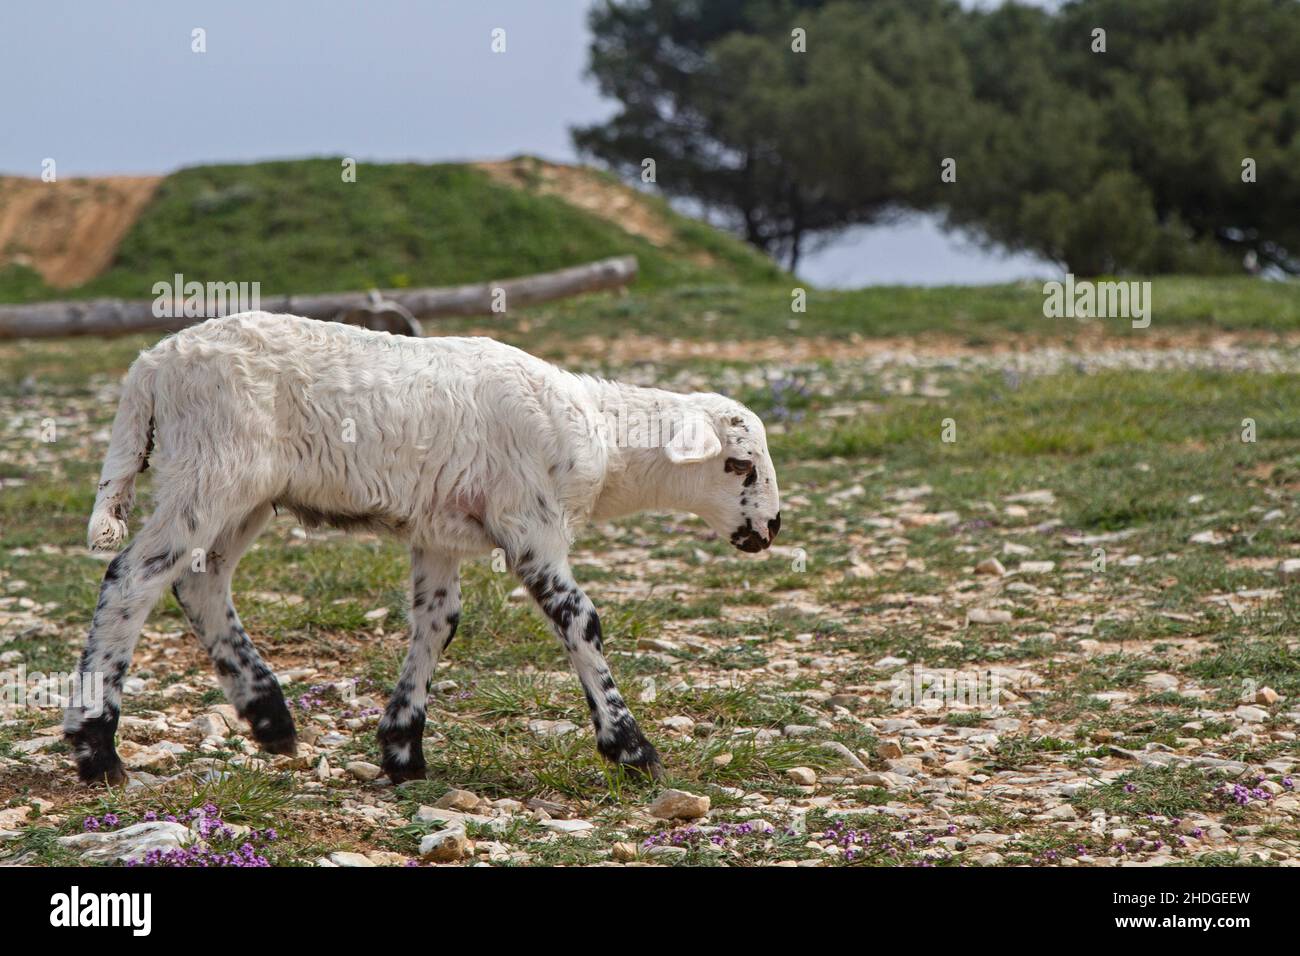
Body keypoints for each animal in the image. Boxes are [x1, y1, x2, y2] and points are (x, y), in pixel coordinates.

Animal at [66, 311, 782, 786]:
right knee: (132, 577)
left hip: (247, 494)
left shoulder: (440, 534)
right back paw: (97, 746)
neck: (602, 436)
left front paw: (402, 749)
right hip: (211, 471)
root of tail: (149, 367)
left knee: (200, 580)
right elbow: (580, 620)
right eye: (740, 464)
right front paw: (631, 749)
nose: (771, 529)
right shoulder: (530, 524)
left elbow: (438, 624)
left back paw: (269, 716)